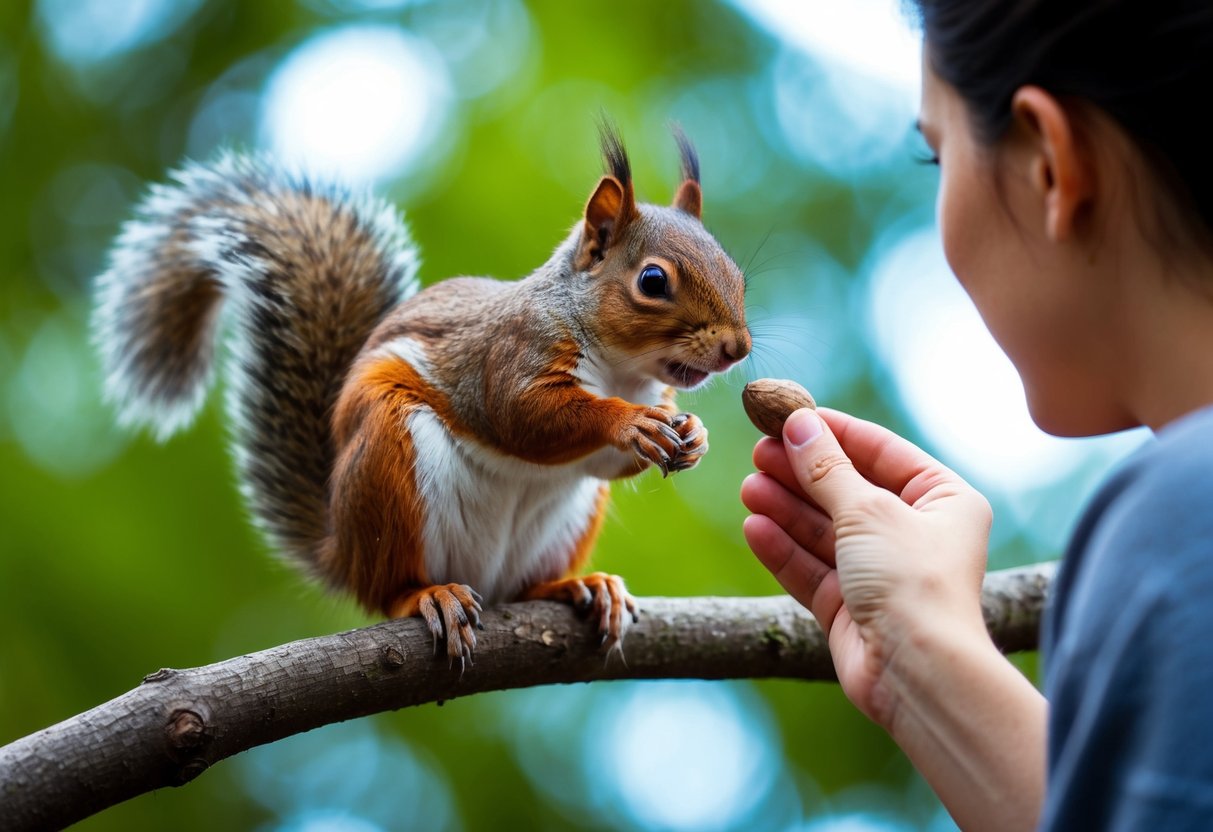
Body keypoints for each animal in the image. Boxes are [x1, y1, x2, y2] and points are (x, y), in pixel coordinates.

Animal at [93, 125, 751, 667]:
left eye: (738, 273)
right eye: (652, 281)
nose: (737, 348)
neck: (620, 370)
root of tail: (341, 552)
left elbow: (605, 461)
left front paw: (692, 434)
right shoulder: (507, 357)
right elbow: (526, 417)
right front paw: (629, 422)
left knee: (524, 587)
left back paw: (580, 587)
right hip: (388, 460)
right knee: (389, 590)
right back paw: (428, 595)